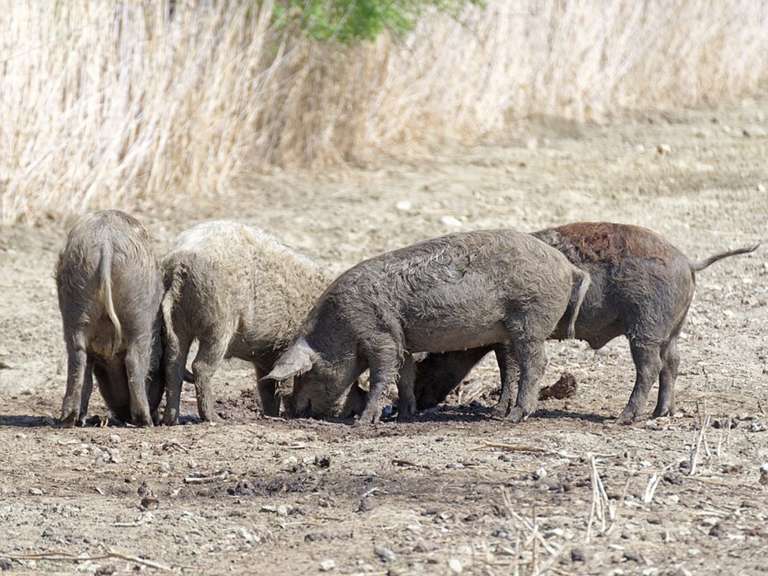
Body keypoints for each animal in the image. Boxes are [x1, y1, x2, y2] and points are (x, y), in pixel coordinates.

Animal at [56, 210, 164, 427]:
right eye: (157, 370)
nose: (122, 415)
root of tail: (106, 243)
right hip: (138, 314)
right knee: (134, 359)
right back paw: (144, 421)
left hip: (75, 309)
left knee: (77, 359)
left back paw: (70, 420)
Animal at [161, 221, 360, 424]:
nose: (351, 413)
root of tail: (180, 261)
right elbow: (284, 384)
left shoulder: (267, 357)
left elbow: (266, 387)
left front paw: (271, 415)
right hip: (219, 322)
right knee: (200, 366)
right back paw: (215, 419)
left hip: (179, 322)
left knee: (173, 365)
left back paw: (171, 421)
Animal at [264, 229, 591, 425]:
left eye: (307, 373)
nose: (290, 411)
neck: (340, 327)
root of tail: (566, 265)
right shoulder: (404, 340)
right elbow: (404, 376)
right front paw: (403, 415)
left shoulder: (380, 335)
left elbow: (382, 375)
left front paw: (364, 422)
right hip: (511, 328)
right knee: (513, 365)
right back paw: (498, 413)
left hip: (530, 319)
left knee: (537, 362)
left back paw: (515, 416)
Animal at [413, 223, 760, 423]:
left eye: (427, 360)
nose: (416, 403)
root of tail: (688, 261)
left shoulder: (507, 338)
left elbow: (509, 370)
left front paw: (499, 413)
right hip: (672, 329)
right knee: (673, 363)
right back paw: (660, 414)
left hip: (646, 326)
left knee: (650, 367)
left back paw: (623, 418)